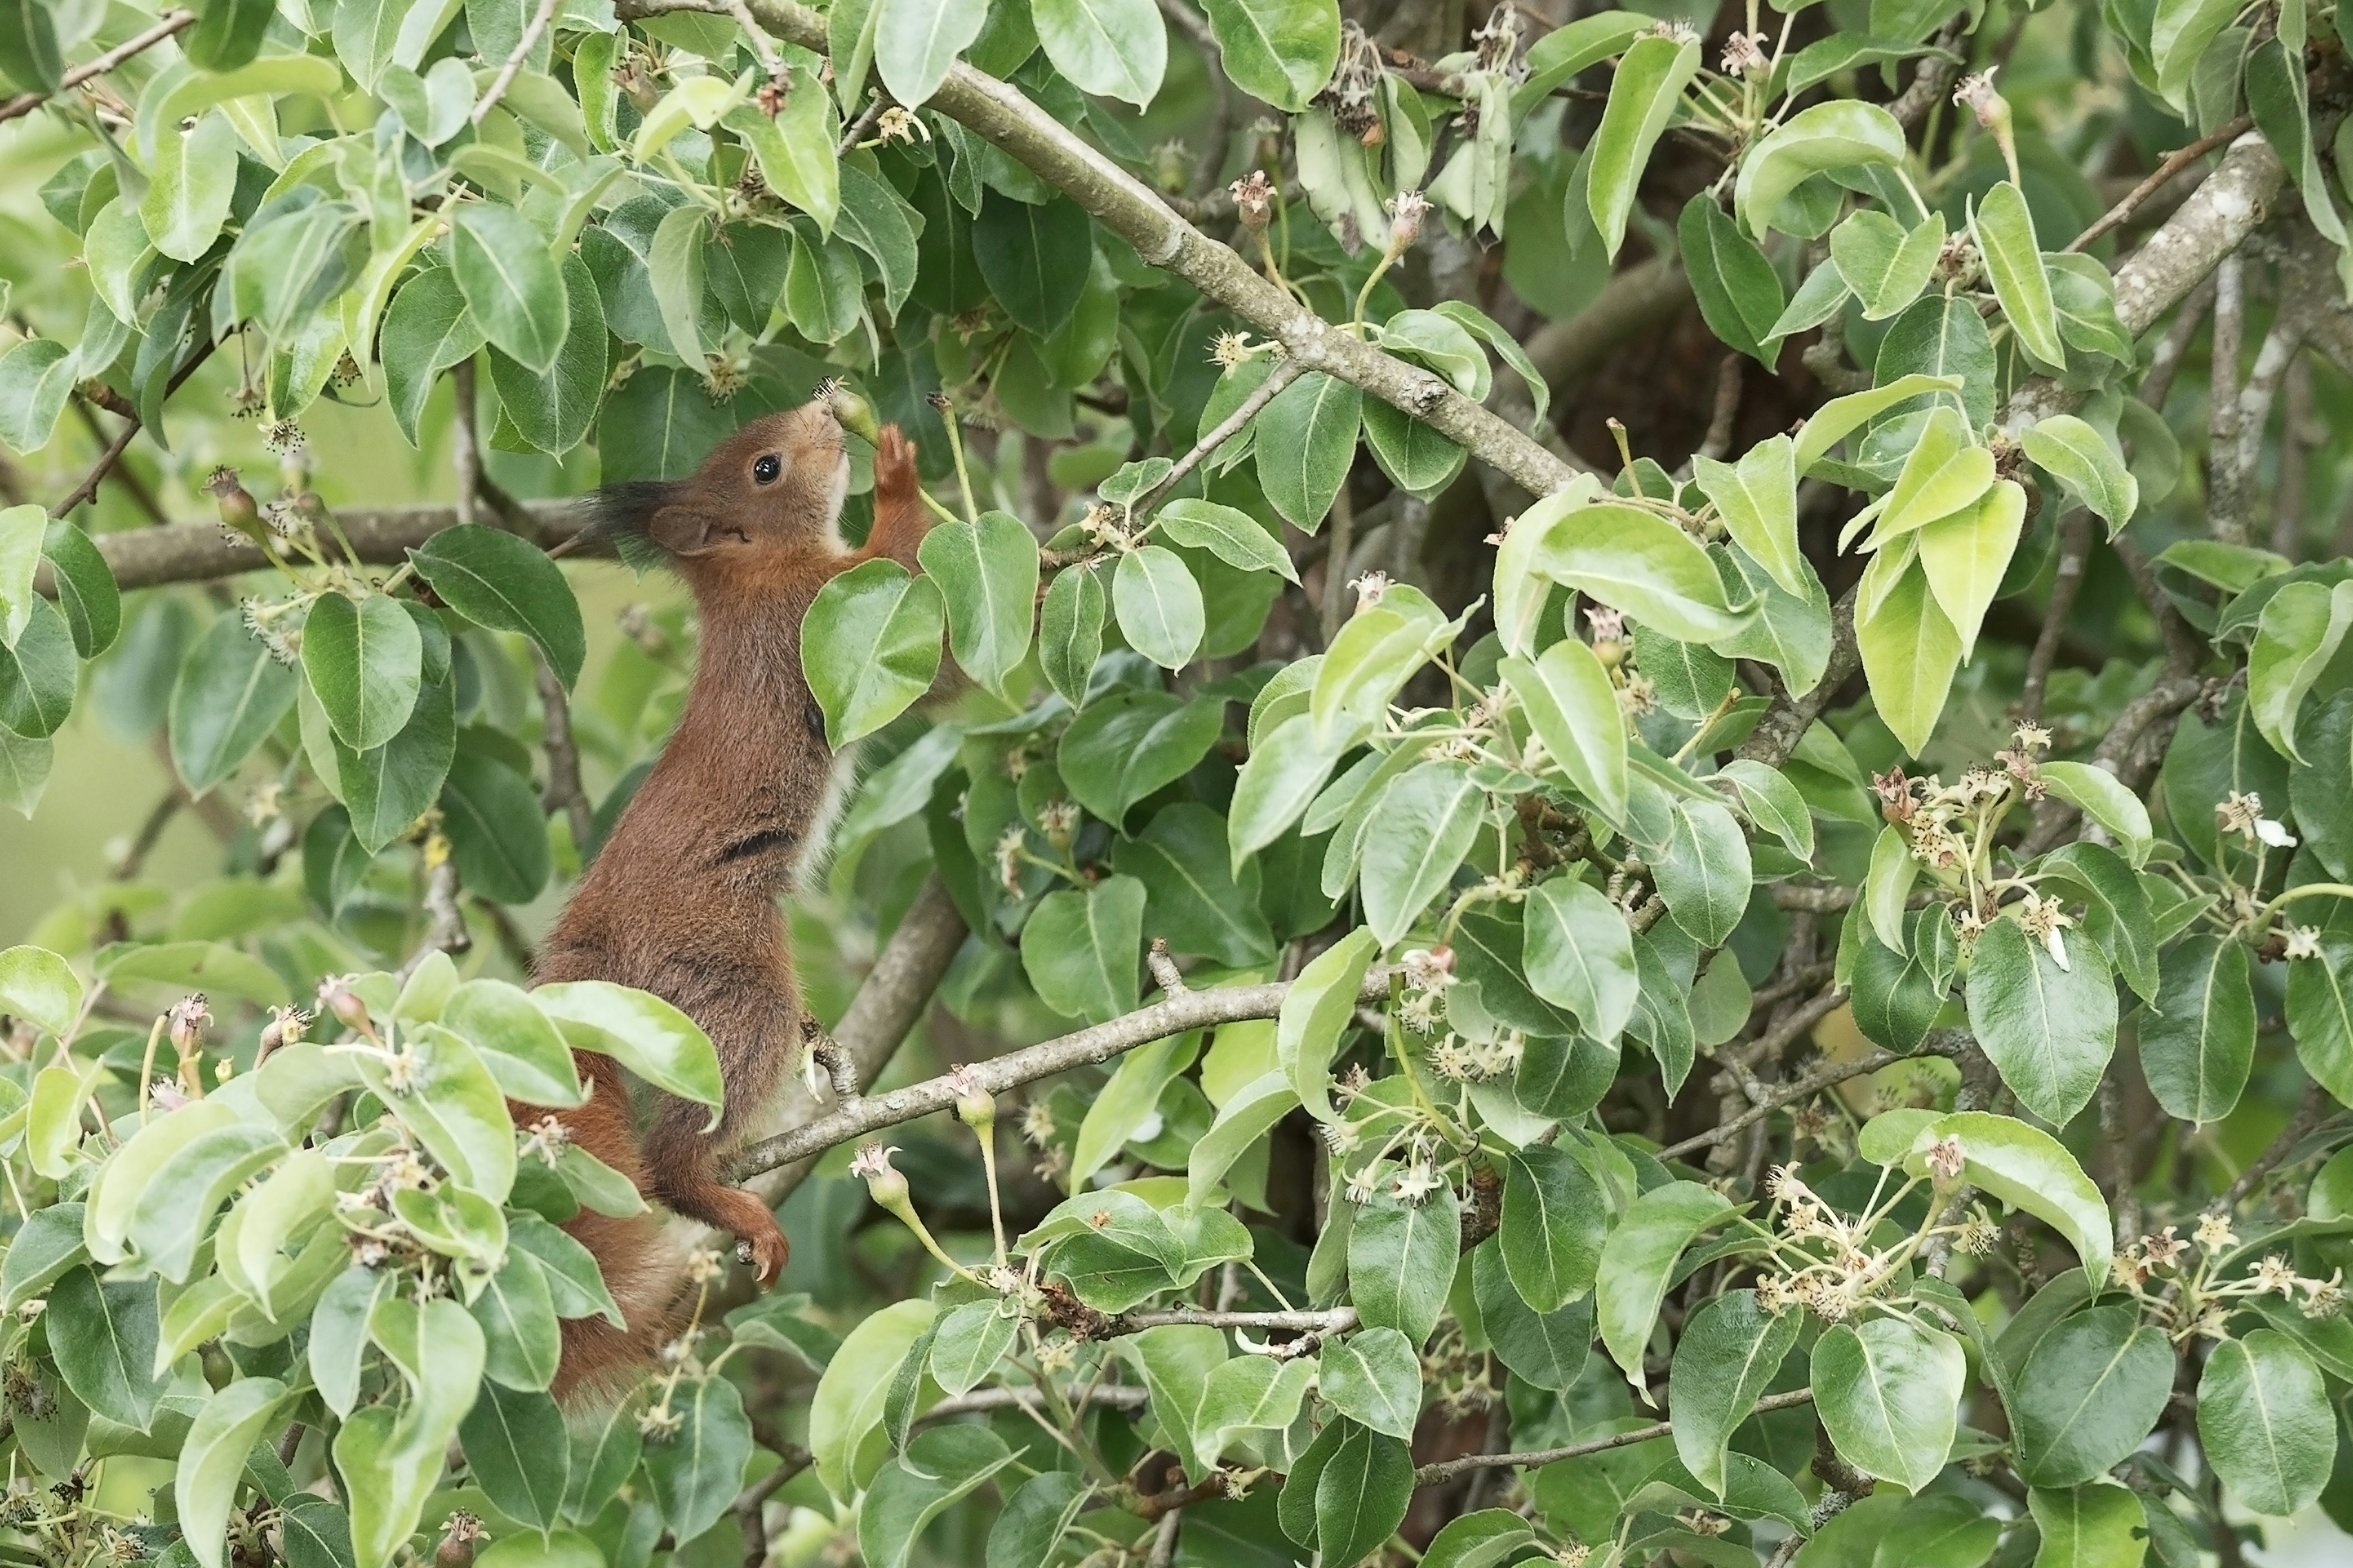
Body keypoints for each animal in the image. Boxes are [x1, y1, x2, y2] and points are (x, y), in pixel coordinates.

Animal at [521, 392, 931, 1397]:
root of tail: (588, 949)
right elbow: (908, 583)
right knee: (671, 1163)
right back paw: (724, 1202)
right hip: (734, 990)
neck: (754, 575)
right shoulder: (826, 615)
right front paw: (899, 477)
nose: (826, 403)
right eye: (765, 469)